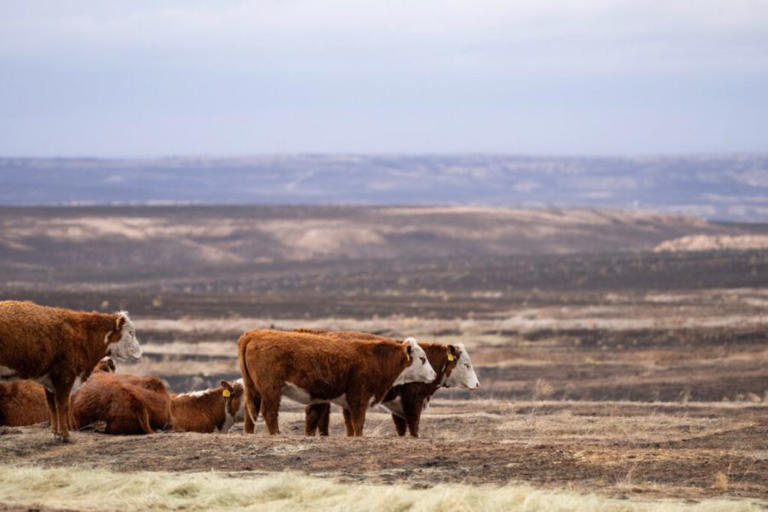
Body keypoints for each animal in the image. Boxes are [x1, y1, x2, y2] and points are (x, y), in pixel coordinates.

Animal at [0, 300, 142, 441]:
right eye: (131, 332)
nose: (140, 352)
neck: (83, 333)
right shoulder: (65, 376)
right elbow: (63, 405)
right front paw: (65, 434)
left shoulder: (50, 380)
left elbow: (52, 406)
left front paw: (55, 432)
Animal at [238, 329, 436, 436]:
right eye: (422, 358)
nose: (434, 375)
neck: (376, 358)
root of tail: (253, 334)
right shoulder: (358, 398)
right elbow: (358, 423)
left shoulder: (348, 402)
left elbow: (351, 425)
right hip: (270, 389)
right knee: (269, 412)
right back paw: (276, 433)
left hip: (253, 388)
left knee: (251, 411)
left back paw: (249, 432)